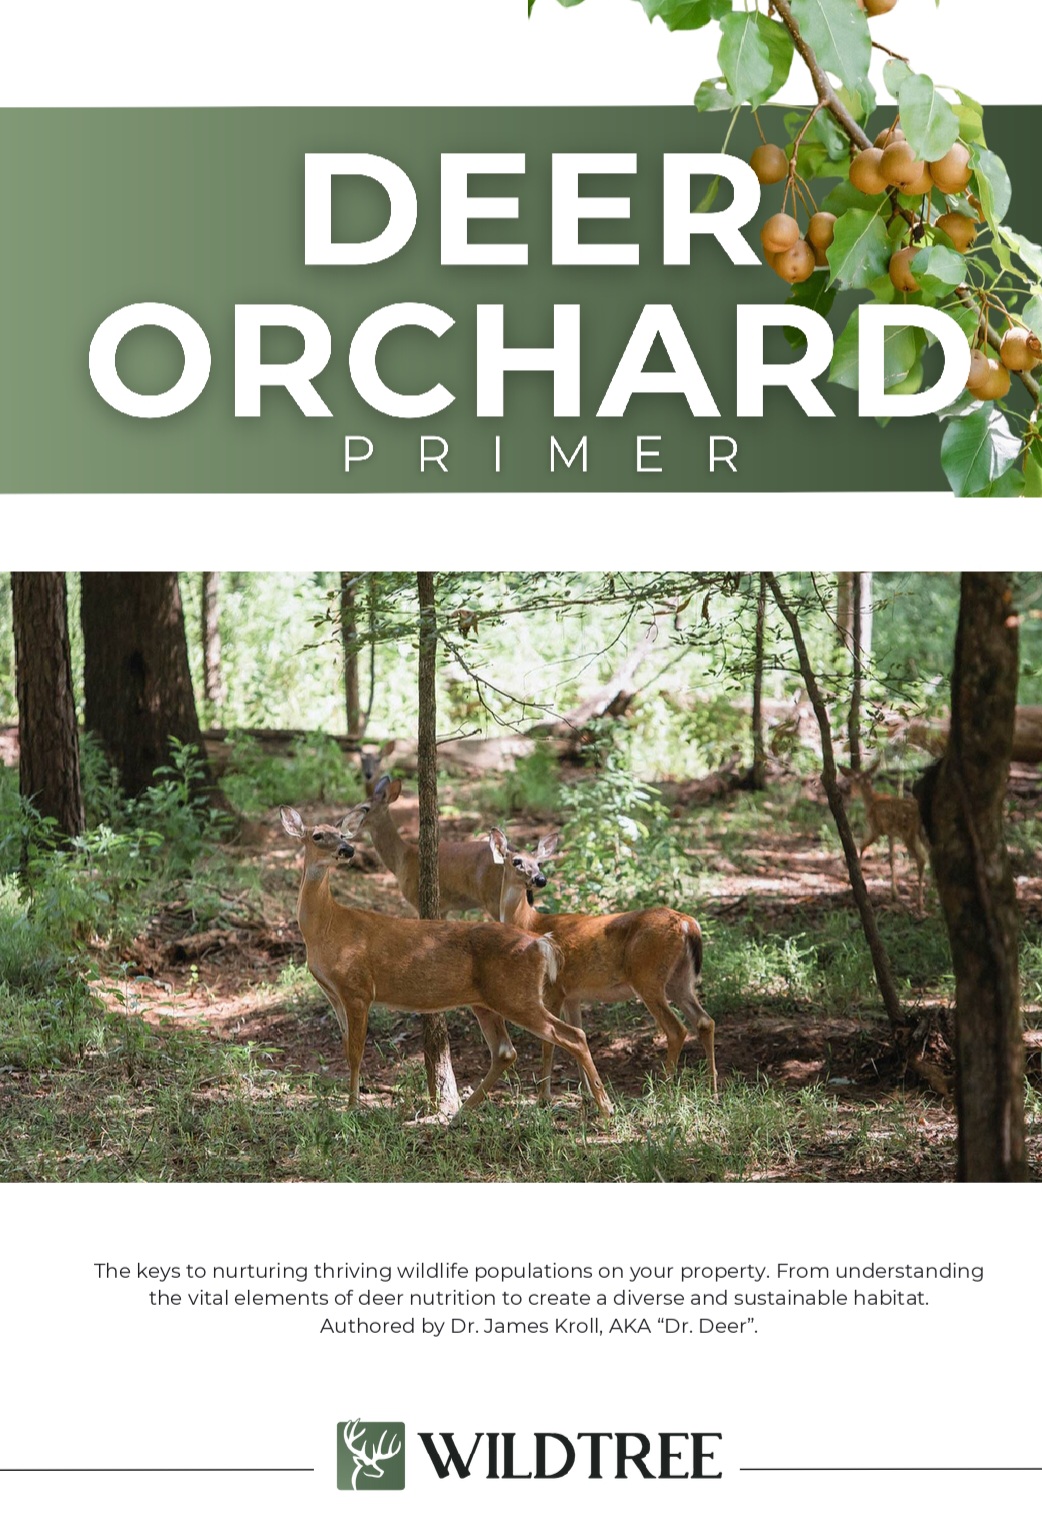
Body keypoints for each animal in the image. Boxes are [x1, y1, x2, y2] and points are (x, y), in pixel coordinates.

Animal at [279, 805, 613, 1116]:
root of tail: (539, 942)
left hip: (517, 995)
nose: (347, 850)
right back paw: (460, 1113)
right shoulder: (334, 993)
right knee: (506, 1051)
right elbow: (346, 1045)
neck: (327, 927)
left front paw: (352, 1108)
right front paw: (350, 1104)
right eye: (317, 835)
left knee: (572, 1035)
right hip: (488, 1000)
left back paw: (605, 1108)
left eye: (342, 834)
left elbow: (355, 1052)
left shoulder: (358, 988)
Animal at [488, 828, 717, 1103]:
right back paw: (713, 1089)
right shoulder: (571, 995)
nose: (540, 879)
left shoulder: (553, 987)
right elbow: (577, 1034)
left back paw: (662, 1091)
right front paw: (587, 1093)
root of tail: (687, 923)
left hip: (647, 976)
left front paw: (544, 1098)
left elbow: (549, 1042)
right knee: (705, 1021)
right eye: (516, 861)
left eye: (539, 862)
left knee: (676, 1030)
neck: (529, 923)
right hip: (678, 978)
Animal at [839, 762, 928, 913]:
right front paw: (894, 894)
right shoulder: (890, 833)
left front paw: (855, 878)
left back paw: (920, 904)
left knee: (921, 859)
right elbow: (892, 859)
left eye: (853, 780)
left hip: (909, 834)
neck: (871, 800)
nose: (850, 792)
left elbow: (862, 846)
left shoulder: (876, 829)